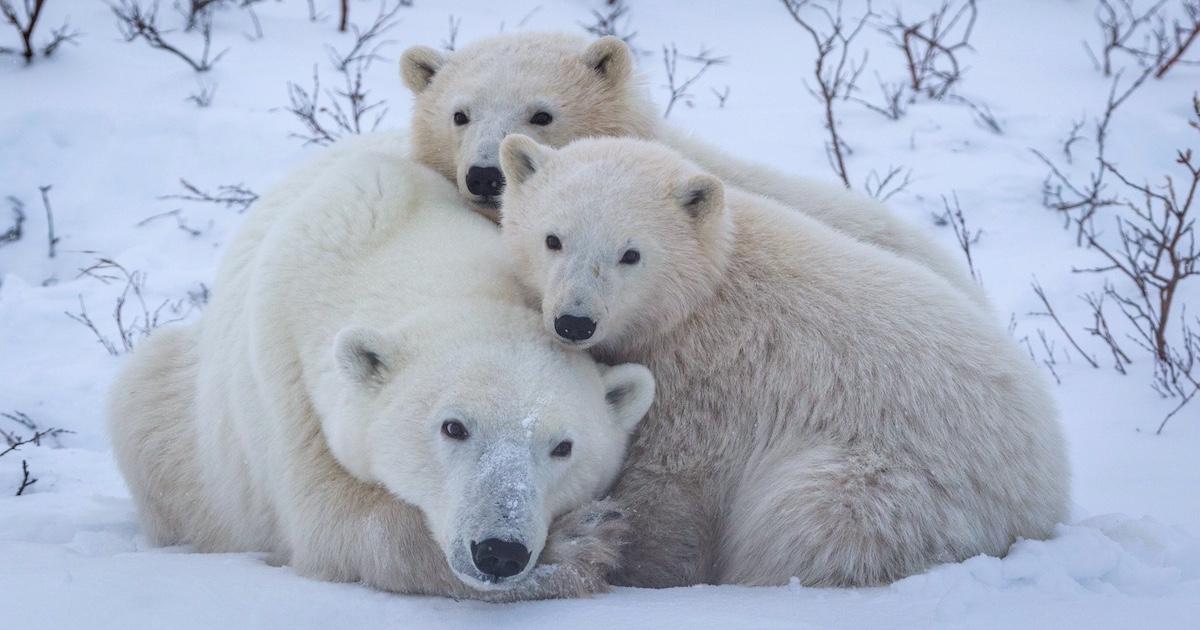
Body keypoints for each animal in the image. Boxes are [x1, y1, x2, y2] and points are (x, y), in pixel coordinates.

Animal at [107, 134, 657, 601]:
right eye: (453, 427)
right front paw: (584, 539)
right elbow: (337, 524)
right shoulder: (290, 383)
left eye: (563, 446)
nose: (499, 552)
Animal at [495, 133, 1070, 588]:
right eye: (552, 239)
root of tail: (1047, 494)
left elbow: (668, 489)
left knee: (804, 522)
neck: (702, 293)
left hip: (893, 489)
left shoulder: (710, 381)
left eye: (630, 254)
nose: (574, 321)